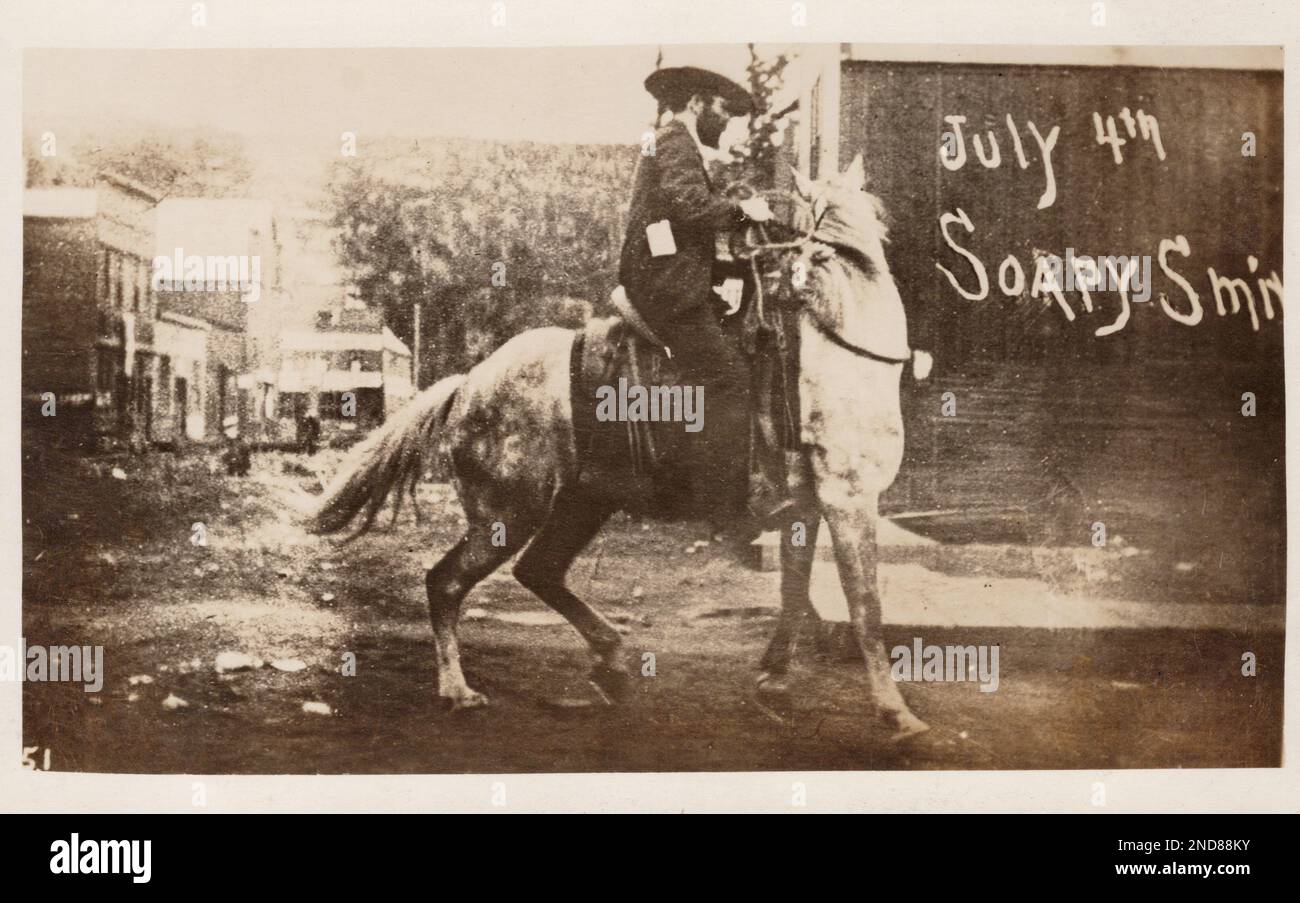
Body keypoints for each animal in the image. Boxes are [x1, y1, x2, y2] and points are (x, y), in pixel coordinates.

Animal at [309, 153, 930, 742]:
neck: (840, 349)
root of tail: (469, 383)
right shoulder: (849, 501)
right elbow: (865, 606)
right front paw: (896, 714)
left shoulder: (807, 508)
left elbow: (795, 595)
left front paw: (773, 681)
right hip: (506, 516)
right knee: (447, 581)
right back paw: (459, 691)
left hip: (583, 503)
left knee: (539, 571)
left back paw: (611, 662)